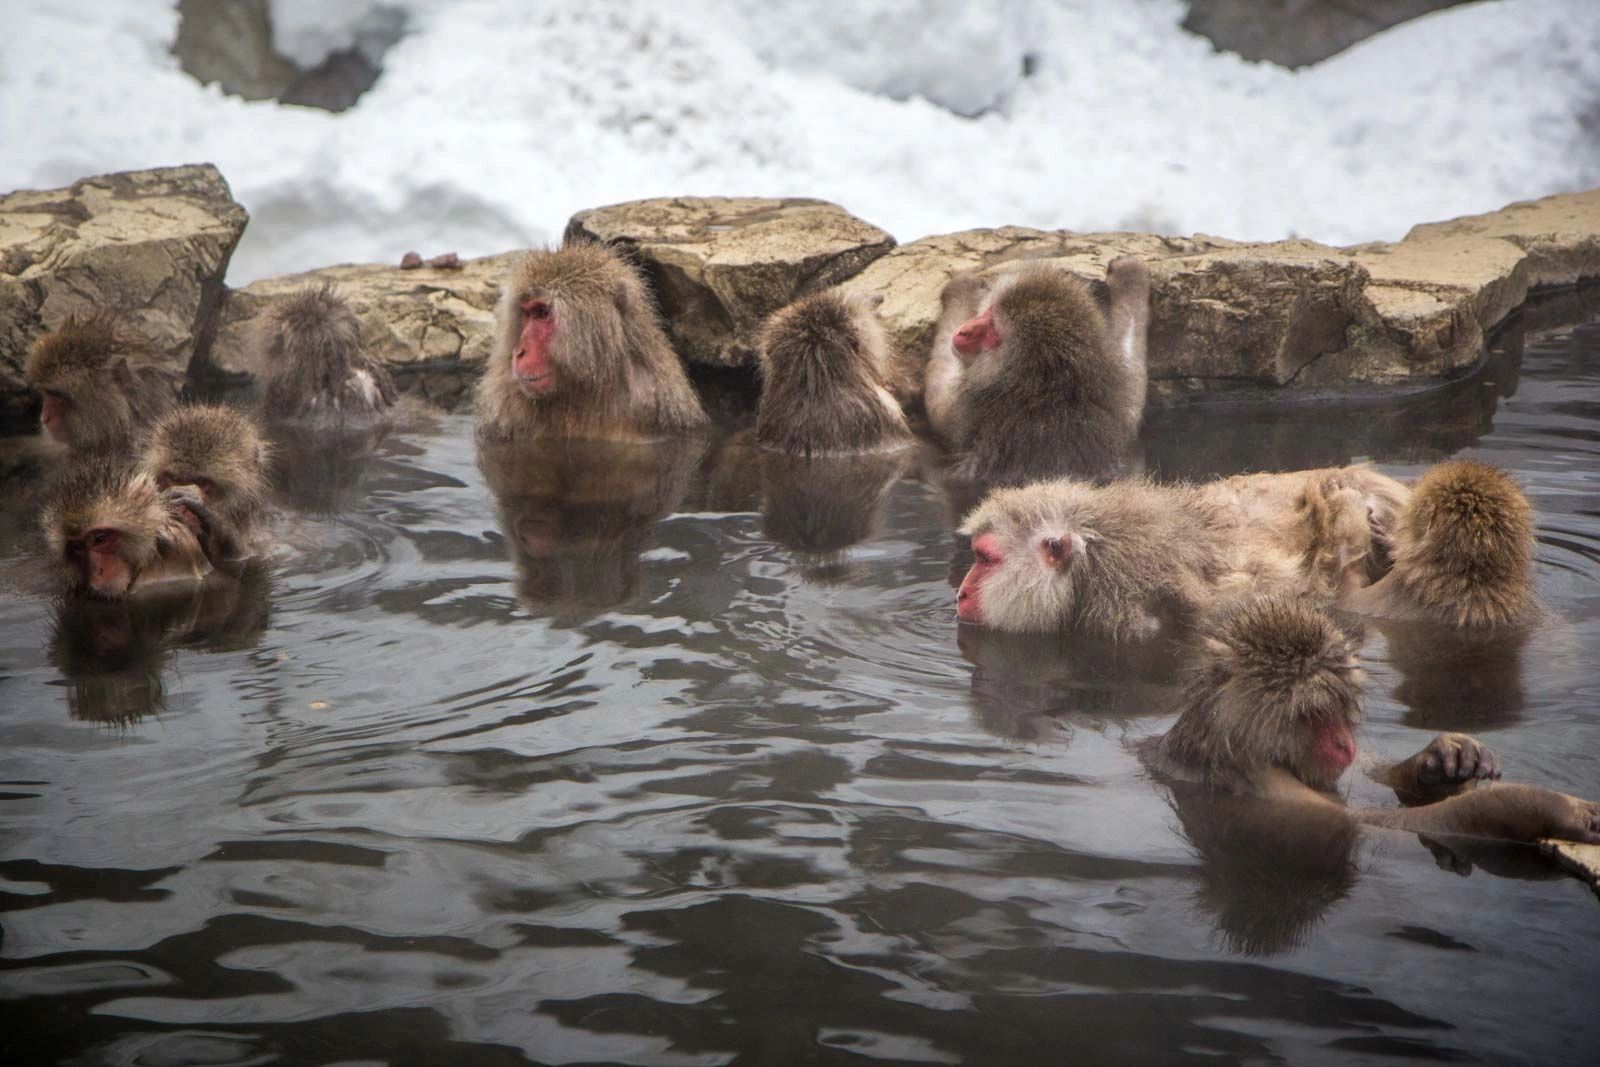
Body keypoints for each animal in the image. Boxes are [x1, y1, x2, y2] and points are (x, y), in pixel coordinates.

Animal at [924, 256, 1151, 485]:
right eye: (989, 312)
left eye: (993, 332)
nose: (964, 331)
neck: (1049, 390)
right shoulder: (1107, 403)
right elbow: (1132, 399)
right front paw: (1131, 278)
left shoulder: (970, 409)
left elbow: (939, 409)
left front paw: (960, 290)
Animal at [1140, 596, 1600, 845]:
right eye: (1312, 714)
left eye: (1338, 705)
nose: (1344, 743)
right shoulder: (1265, 781)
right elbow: (1372, 823)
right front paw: (1535, 805)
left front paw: (1444, 759)